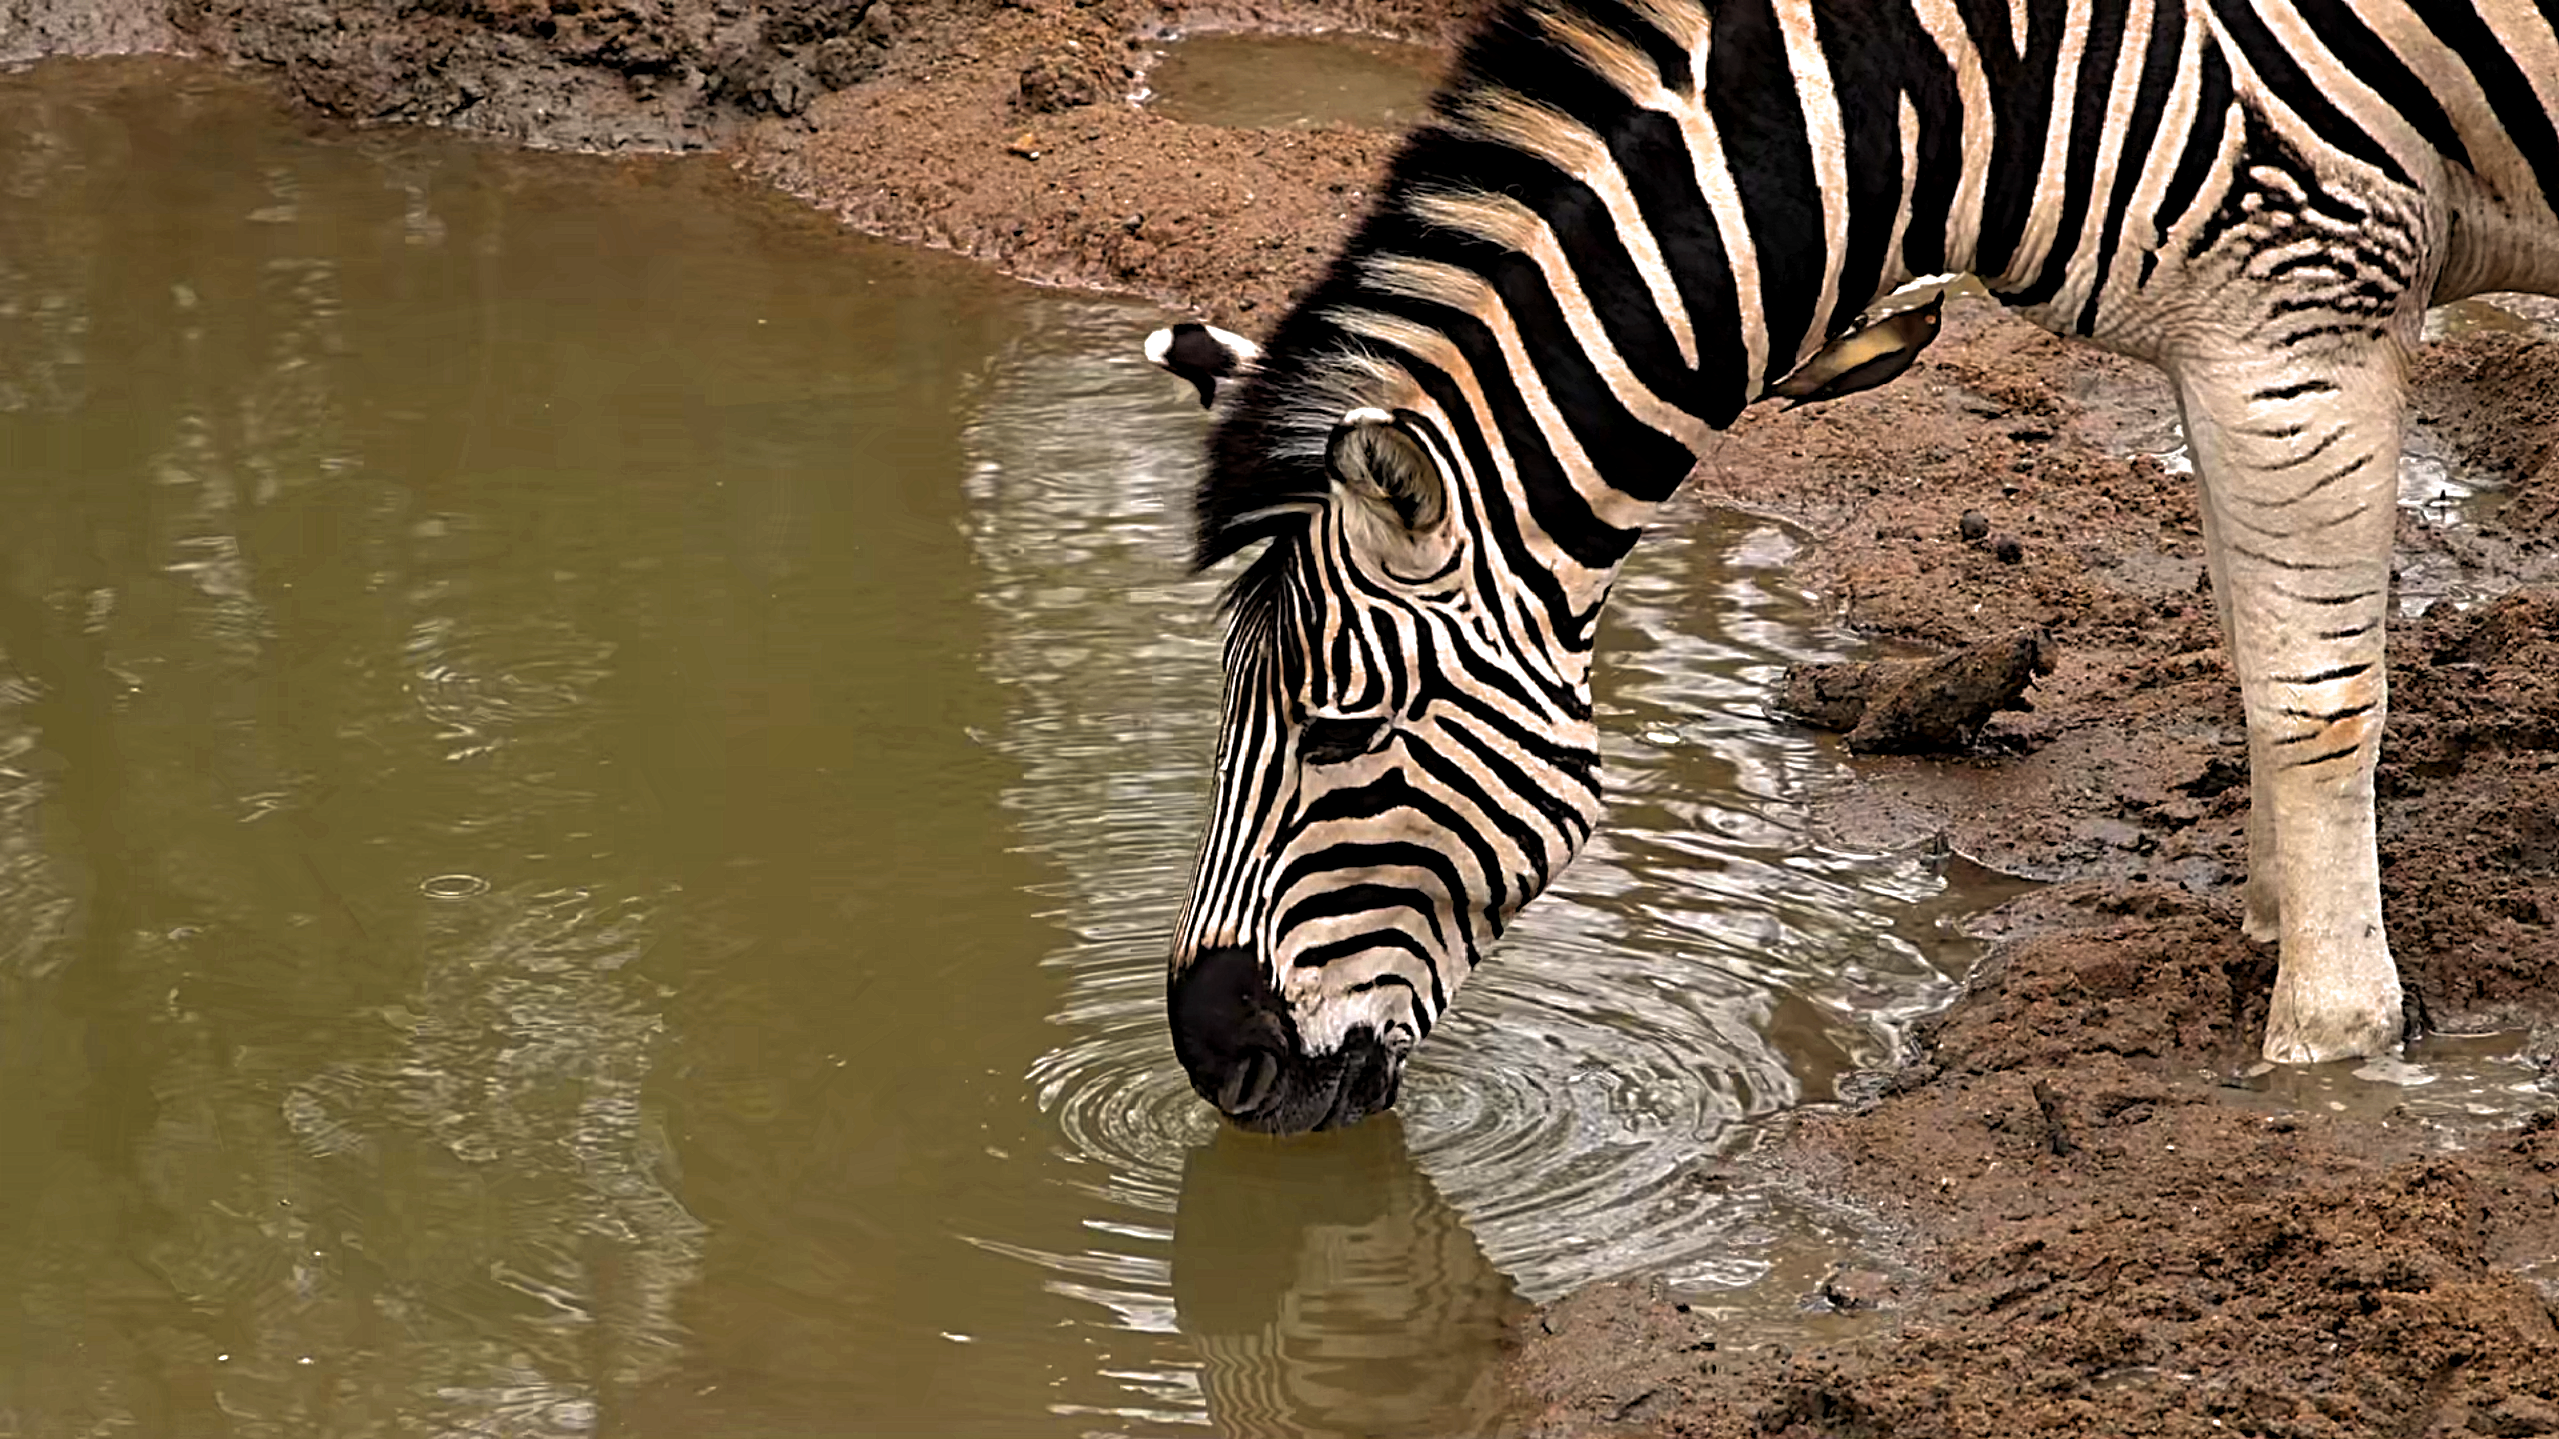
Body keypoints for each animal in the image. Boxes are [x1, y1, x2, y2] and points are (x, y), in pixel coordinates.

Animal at [1148, 0, 2559, 1133]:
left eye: (1340, 731)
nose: (1212, 1060)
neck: (1968, 85)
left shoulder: (2306, 307)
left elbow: (2313, 701)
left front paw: (2331, 1038)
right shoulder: (2232, 339)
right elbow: (2255, 643)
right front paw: (2280, 916)